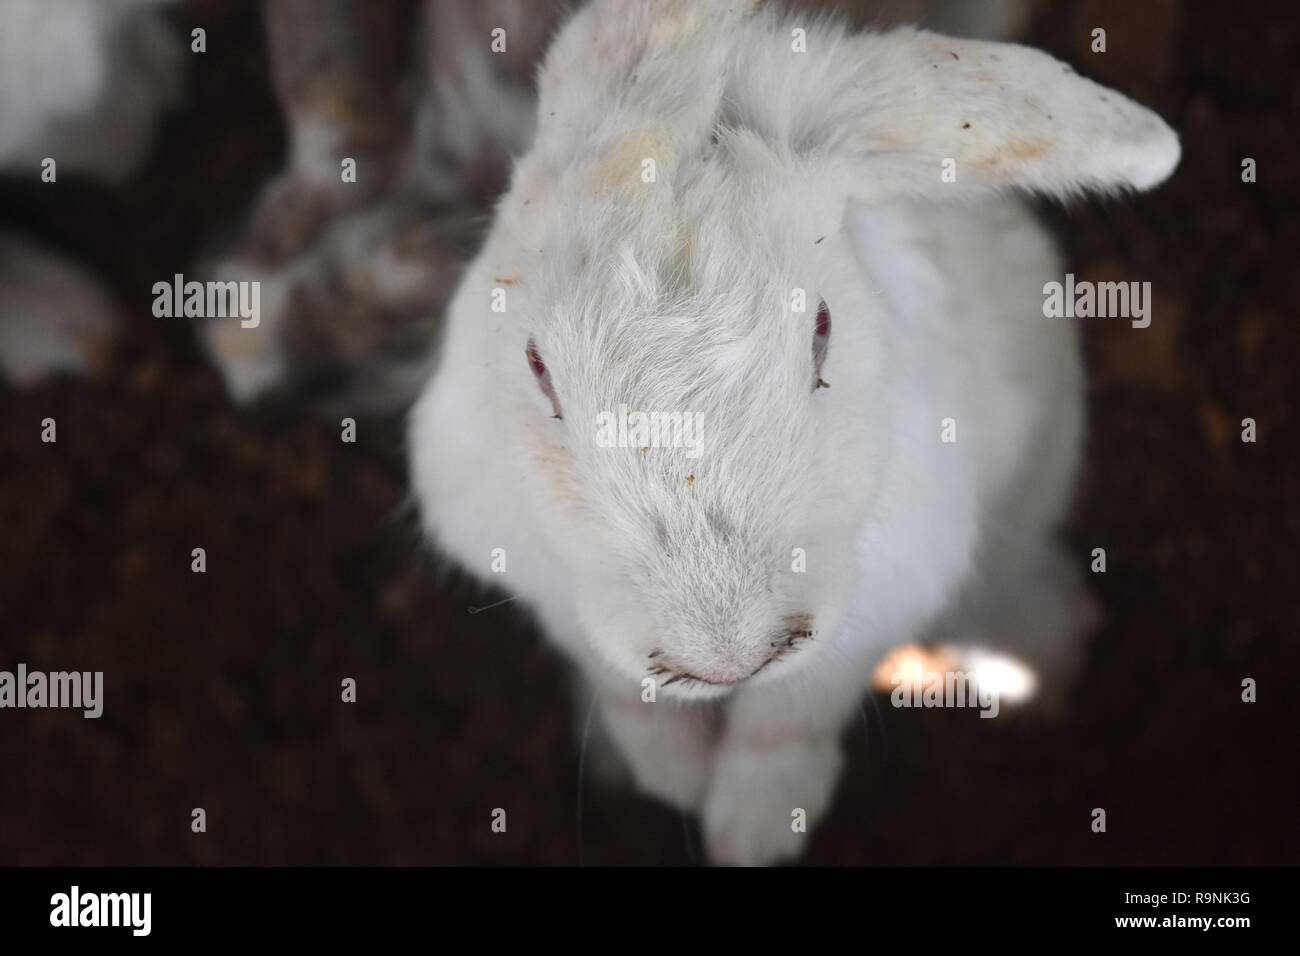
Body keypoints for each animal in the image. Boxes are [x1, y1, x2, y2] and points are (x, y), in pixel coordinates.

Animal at [408, 0, 1179, 865]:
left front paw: (758, 828)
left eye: (822, 330)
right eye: (538, 367)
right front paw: (672, 775)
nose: (730, 659)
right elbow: (624, 690)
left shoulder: (886, 594)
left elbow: (794, 715)